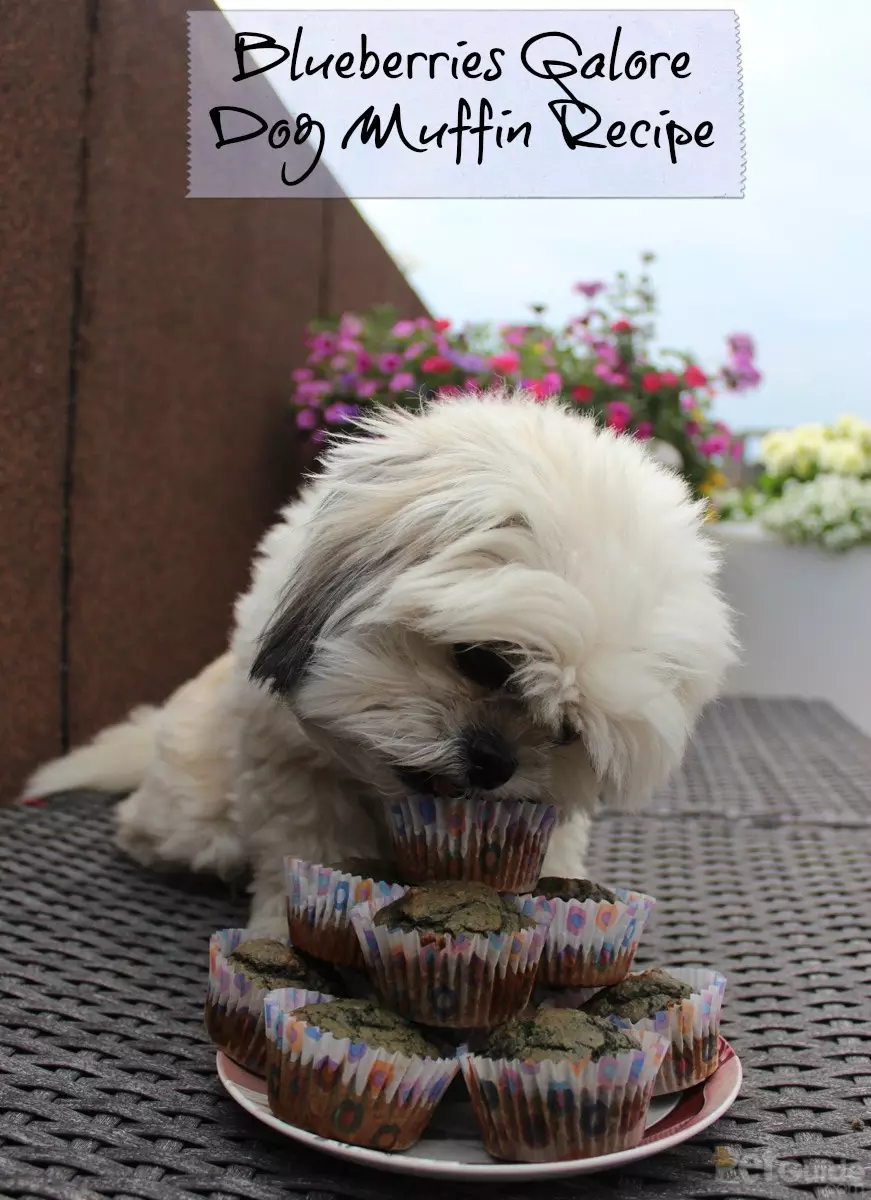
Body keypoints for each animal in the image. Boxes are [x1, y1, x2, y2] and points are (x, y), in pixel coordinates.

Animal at [27, 388, 739, 931]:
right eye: (484, 661)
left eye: (568, 733)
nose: (494, 760)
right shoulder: (291, 773)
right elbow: (304, 853)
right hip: (189, 807)